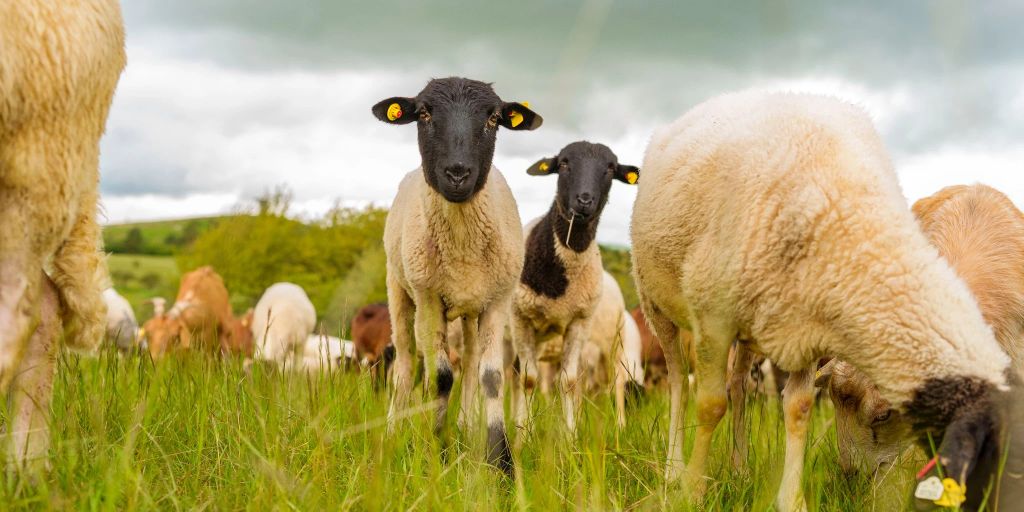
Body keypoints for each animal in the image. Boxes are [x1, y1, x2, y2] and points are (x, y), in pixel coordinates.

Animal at [372, 77, 541, 475]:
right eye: (423, 113)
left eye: (494, 118)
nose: (458, 173)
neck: (462, 247)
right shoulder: (429, 298)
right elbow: (441, 377)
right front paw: (438, 452)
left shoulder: (498, 300)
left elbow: (490, 377)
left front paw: (501, 462)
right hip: (399, 291)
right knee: (405, 365)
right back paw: (392, 433)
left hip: (469, 308)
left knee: (471, 362)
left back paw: (465, 427)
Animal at [511, 141, 639, 434]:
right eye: (564, 163)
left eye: (610, 168)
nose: (584, 200)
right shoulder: (521, 319)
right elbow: (528, 380)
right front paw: (525, 434)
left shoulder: (579, 321)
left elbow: (568, 382)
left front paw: (570, 435)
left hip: (613, 345)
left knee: (616, 382)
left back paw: (620, 425)